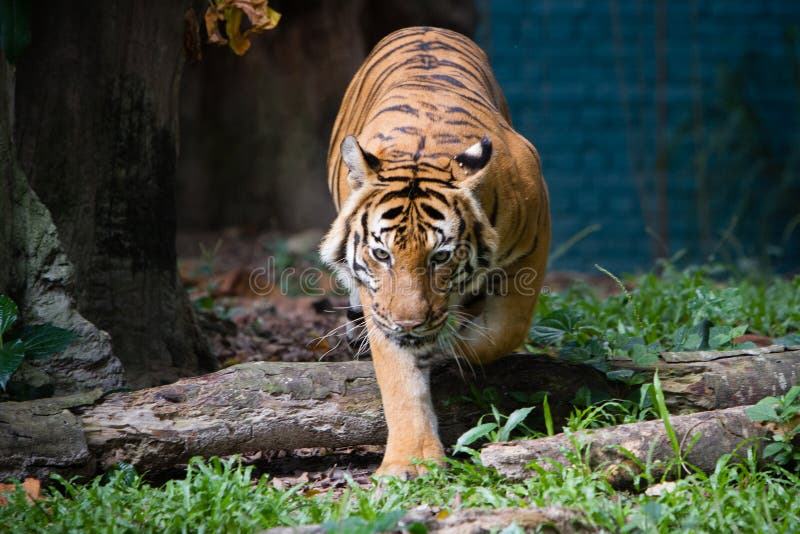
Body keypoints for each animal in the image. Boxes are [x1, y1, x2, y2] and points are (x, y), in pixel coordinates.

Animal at [320, 26, 550, 477]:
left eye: (440, 257)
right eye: (382, 255)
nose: (409, 324)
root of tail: (426, 27)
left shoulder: (534, 242)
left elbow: (505, 329)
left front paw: (456, 345)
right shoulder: (381, 304)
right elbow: (399, 379)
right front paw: (410, 462)